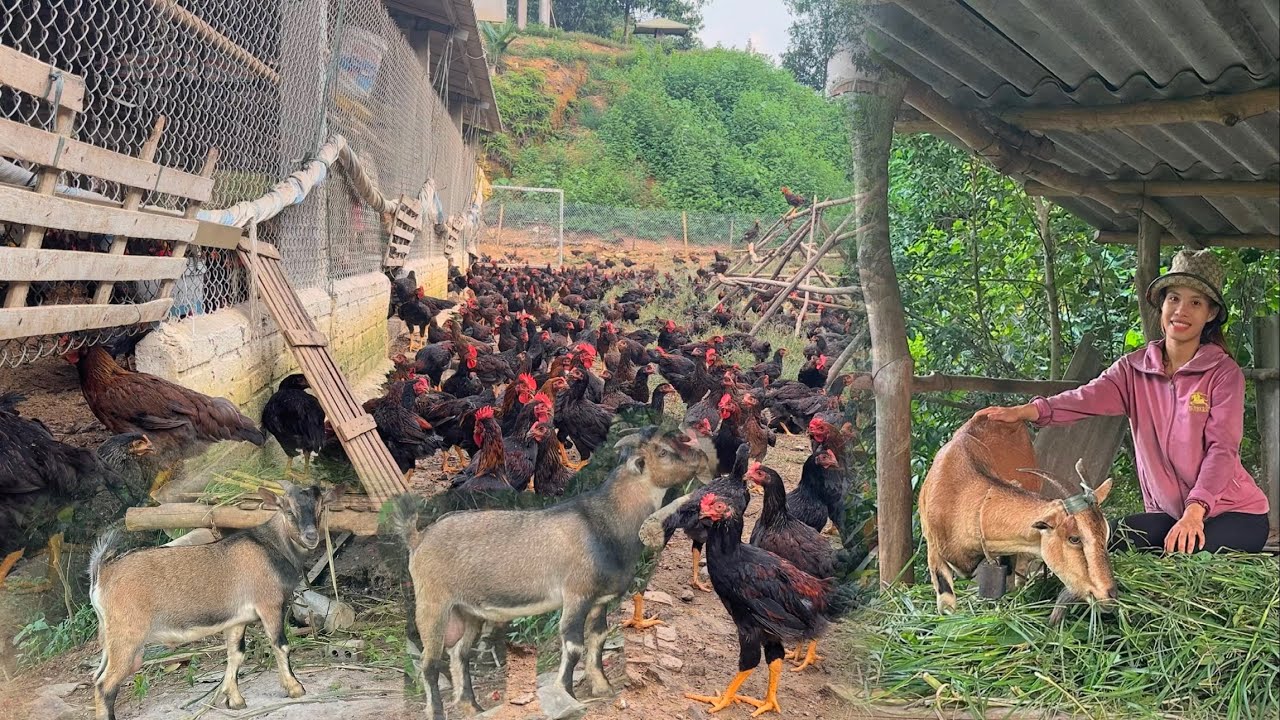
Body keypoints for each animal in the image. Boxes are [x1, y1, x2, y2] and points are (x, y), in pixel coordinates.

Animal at [89, 481, 342, 720]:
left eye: (320, 509)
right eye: (288, 510)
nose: (311, 537)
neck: (270, 546)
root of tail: (104, 573)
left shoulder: (237, 620)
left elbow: (236, 654)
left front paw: (235, 700)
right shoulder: (269, 605)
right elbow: (280, 644)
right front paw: (296, 688)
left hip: (110, 639)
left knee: (97, 677)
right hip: (128, 637)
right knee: (105, 685)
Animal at [400, 425, 709, 720]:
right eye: (664, 451)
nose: (702, 457)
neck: (603, 524)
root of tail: (419, 539)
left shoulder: (600, 600)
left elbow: (598, 638)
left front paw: (603, 687)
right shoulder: (576, 594)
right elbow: (573, 644)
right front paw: (568, 695)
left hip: (468, 612)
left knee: (459, 654)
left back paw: (472, 707)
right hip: (433, 604)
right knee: (430, 663)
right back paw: (437, 712)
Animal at [919, 416, 1117, 625]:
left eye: (1105, 535)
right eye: (1074, 538)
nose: (1110, 594)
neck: (960, 492)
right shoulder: (934, 554)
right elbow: (947, 605)